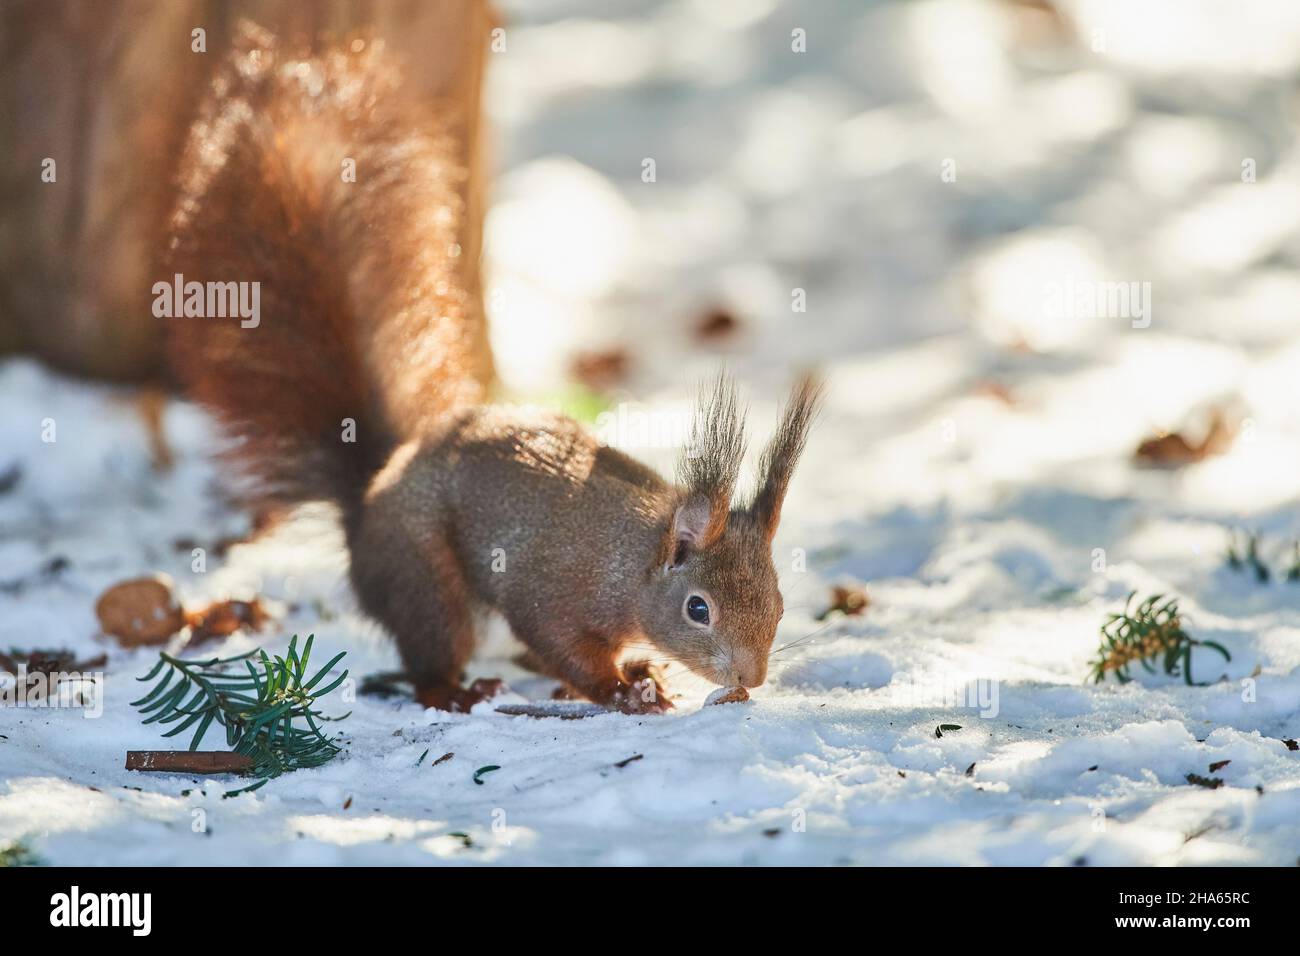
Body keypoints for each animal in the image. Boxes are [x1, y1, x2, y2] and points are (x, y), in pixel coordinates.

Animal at [166, 25, 822, 713]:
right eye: (699, 609)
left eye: (780, 603)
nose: (751, 677)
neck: (636, 561)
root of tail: (368, 501)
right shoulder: (556, 591)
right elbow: (561, 642)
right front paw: (623, 691)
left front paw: (643, 672)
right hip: (428, 582)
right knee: (430, 654)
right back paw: (457, 691)